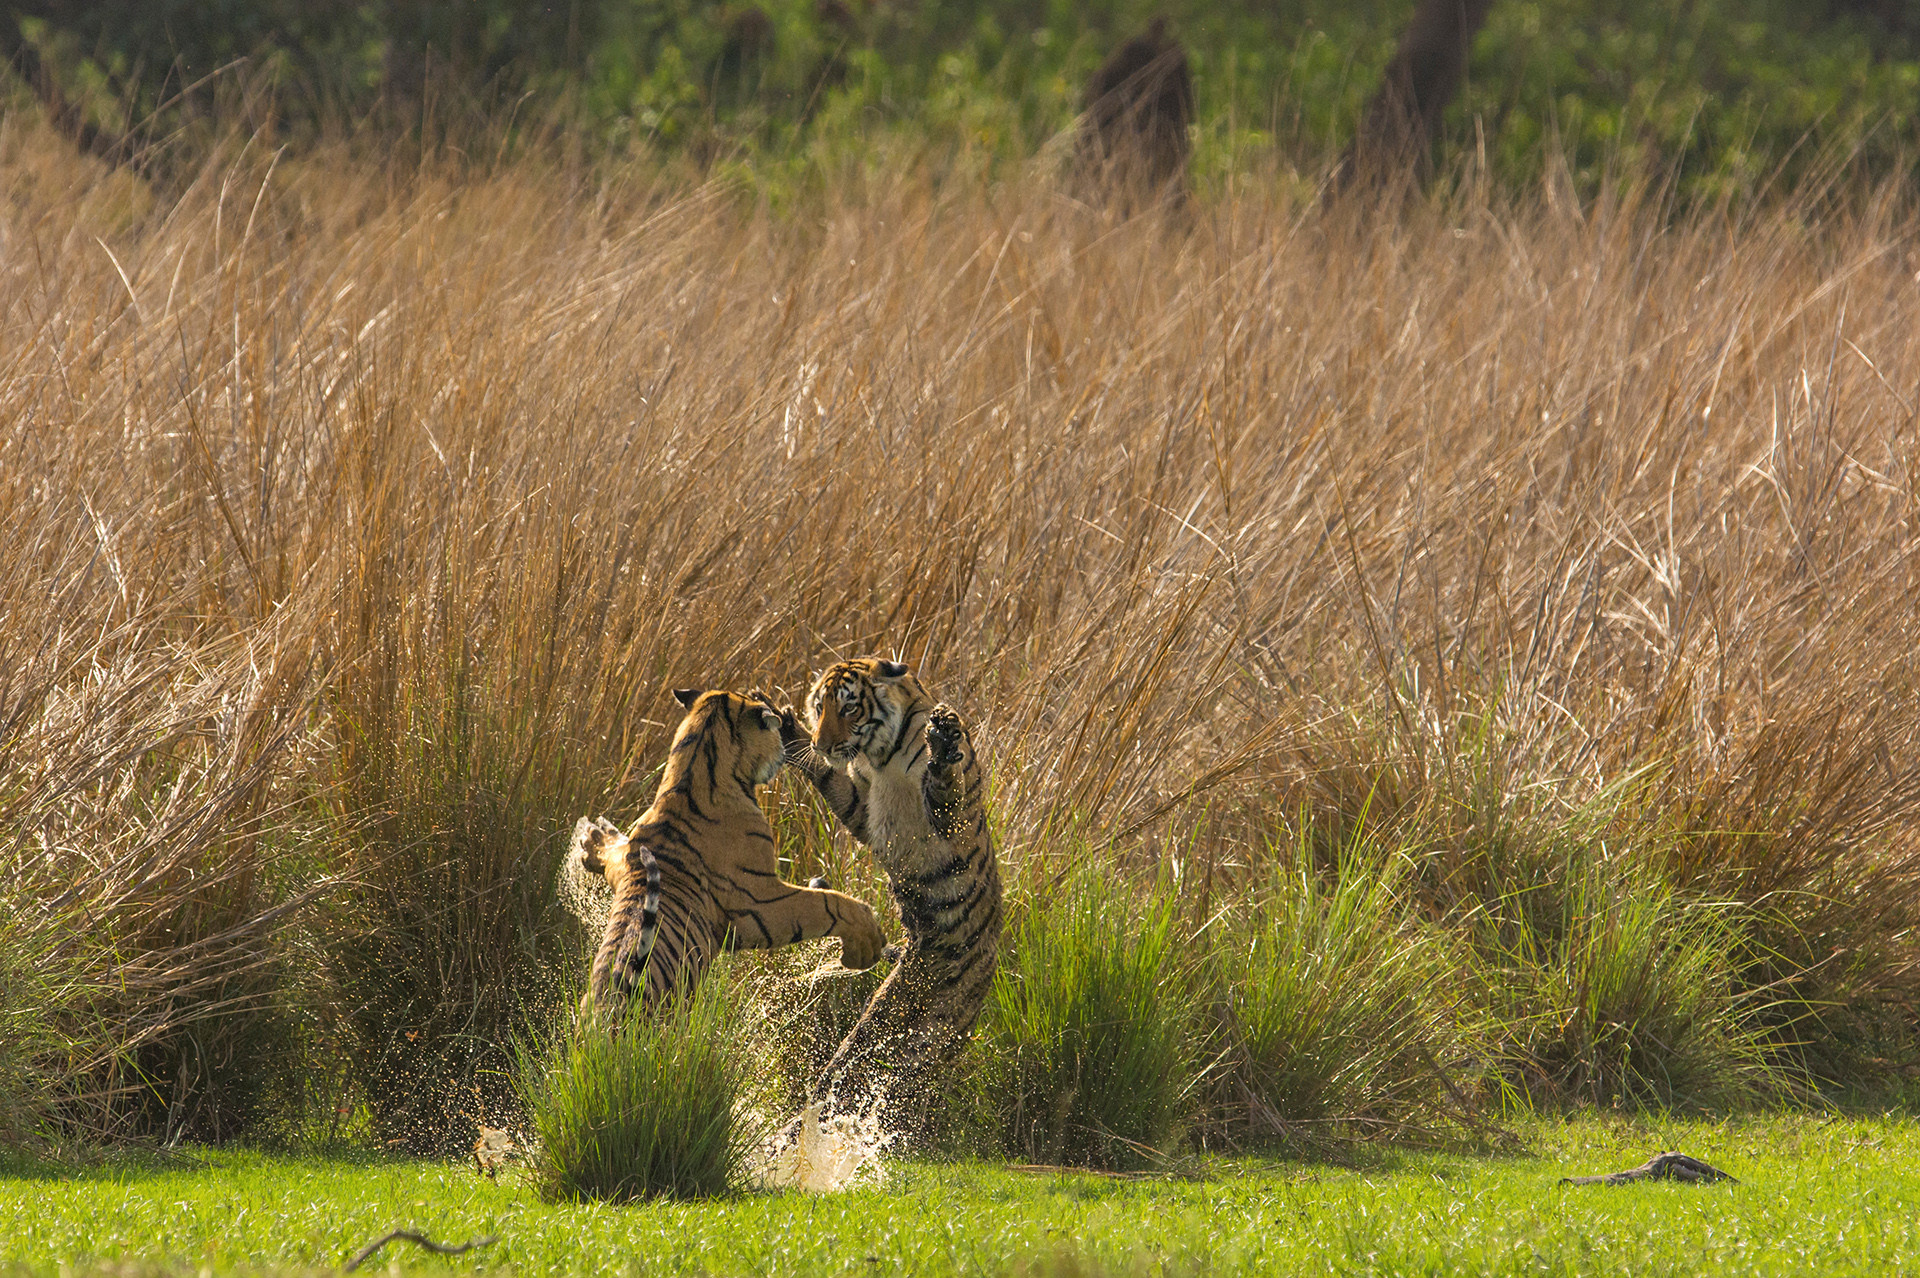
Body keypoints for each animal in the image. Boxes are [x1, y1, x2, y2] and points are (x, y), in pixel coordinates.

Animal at [572, 687, 887, 1015]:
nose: (783, 753)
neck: (691, 770)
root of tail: (607, 1009)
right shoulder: (758, 901)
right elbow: (832, 903)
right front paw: (865, 946)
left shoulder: (628, 860)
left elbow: (613, 855)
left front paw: (593, 840)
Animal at [774, 657, 1004, 1135]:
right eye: (819, 707)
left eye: (849, 708)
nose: (823, 743)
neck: (882, 759)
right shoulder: (863, 806)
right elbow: (832, 780)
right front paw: (790, 733)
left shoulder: (949, 820)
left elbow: (945, 786)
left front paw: (944, 740)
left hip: (920, 1032)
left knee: (863, 1080)